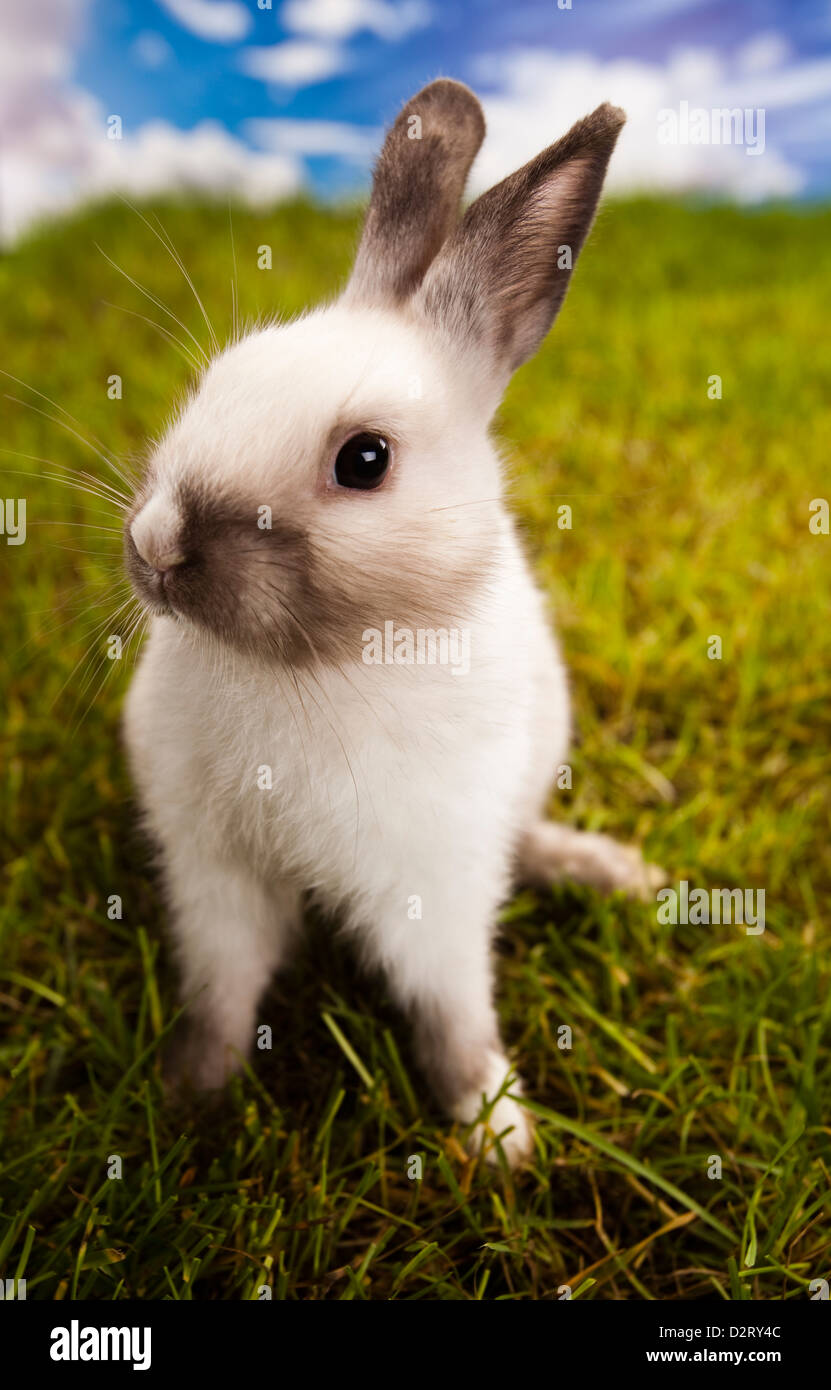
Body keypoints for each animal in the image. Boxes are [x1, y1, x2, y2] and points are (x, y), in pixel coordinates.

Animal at [123, 78, 661, 1168]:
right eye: (214, 383)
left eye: (364, 460)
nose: (156, 543)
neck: (313, 663)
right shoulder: (214, 873)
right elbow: (223, 985)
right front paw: (190, 1095)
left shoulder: (433, 882)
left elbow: (450, 1005)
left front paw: (496, 1132)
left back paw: (611, 871)